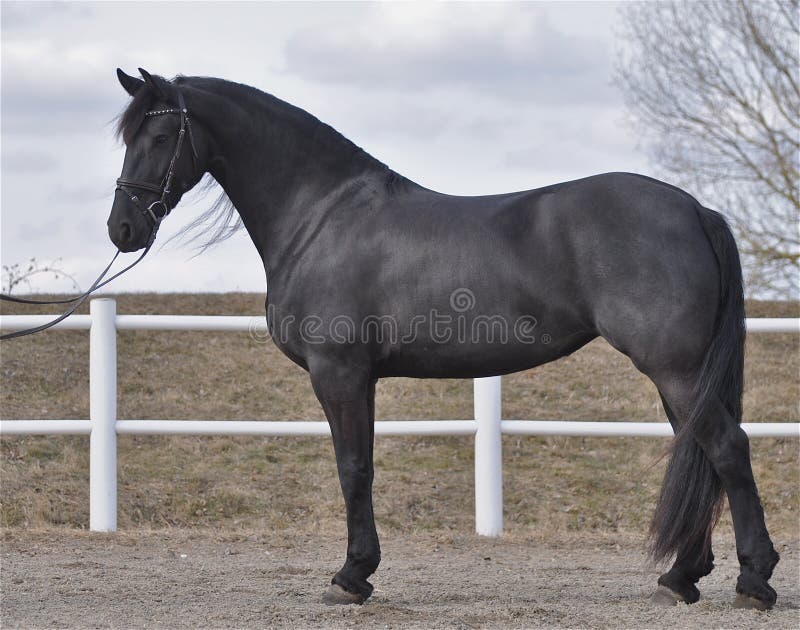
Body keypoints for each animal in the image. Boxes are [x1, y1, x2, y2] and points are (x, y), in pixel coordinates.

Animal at [107, 68, 779, 609]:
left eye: (160, 138)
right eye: (127, 138)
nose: (123, 229)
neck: (323, 216)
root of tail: (695, 210)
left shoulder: (338, 372)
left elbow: (352, 468)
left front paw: (351, 577)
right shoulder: (360, 378)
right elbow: (361, 466)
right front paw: (360, 572)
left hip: (675, 368)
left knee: (727, 448)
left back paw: (754, 582)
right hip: (680, 375)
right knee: (705, 452)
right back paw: (682, 578)